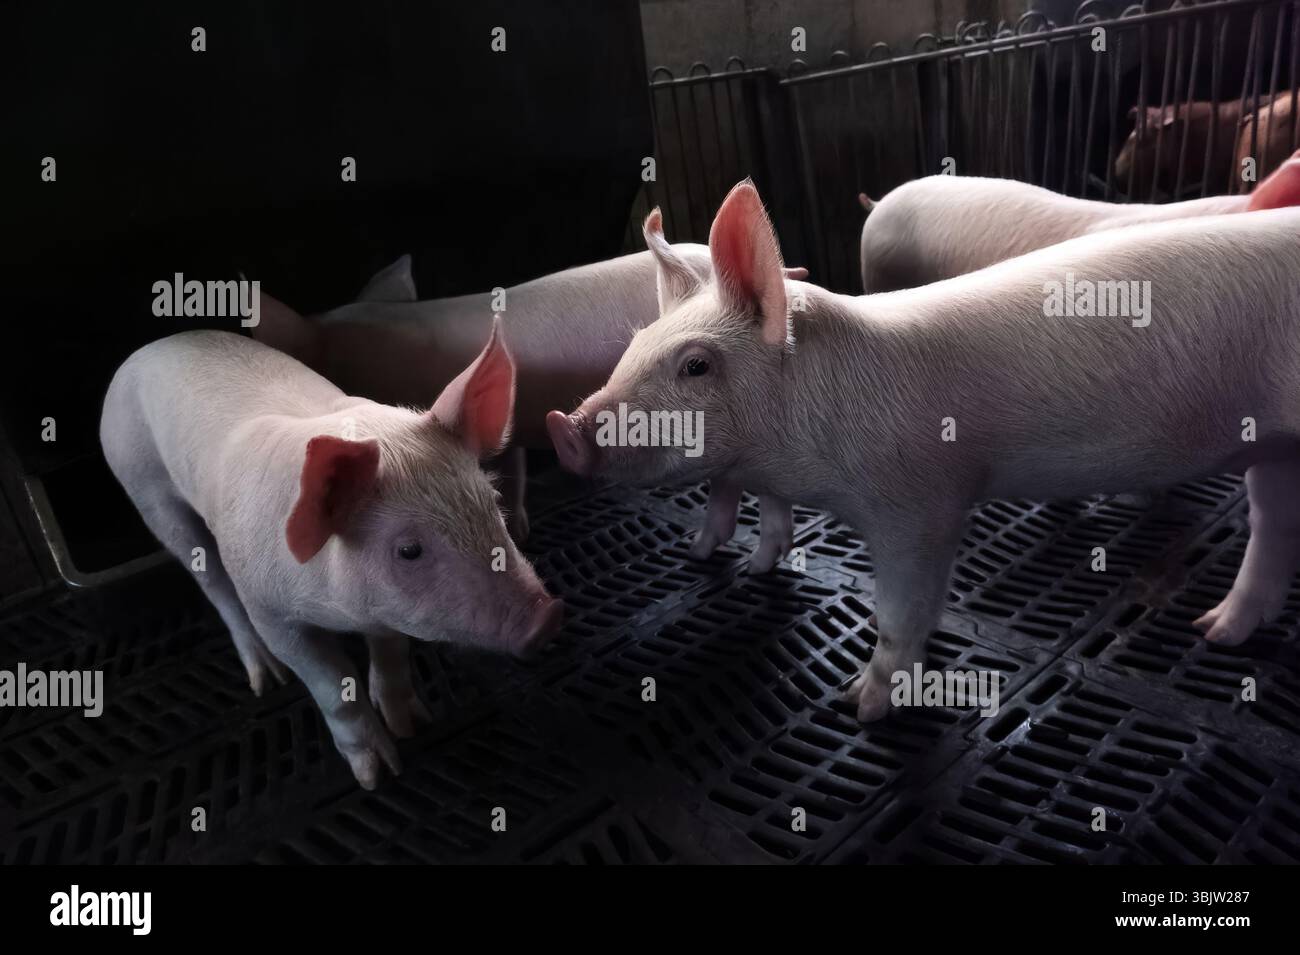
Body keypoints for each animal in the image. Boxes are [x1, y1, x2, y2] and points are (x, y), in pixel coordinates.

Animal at [100, 326, 561, 788]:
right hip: (144, 485)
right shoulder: (269, 610)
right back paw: (268, 680)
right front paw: (378, 776)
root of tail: (153, 347)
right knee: (212, 582)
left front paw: (413, 725)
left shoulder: (387, 610)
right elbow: (333, 686)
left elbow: (392, 655)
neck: (340, 609)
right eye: (409, 550)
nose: (545, 617)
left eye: (494, 502)